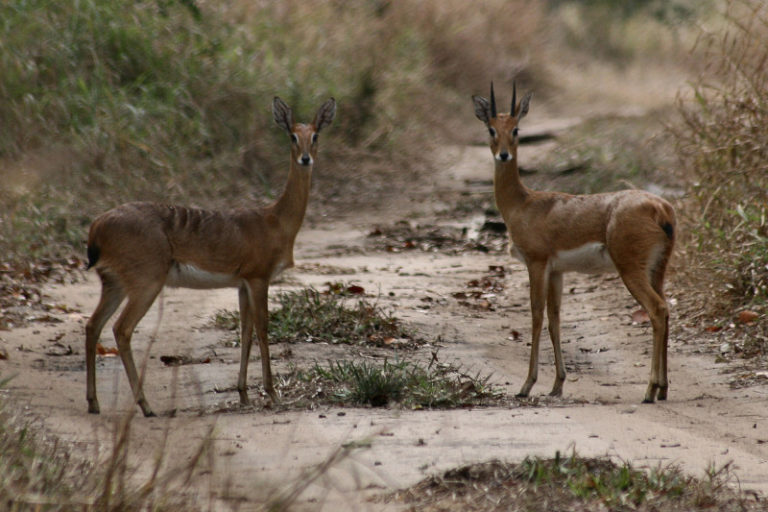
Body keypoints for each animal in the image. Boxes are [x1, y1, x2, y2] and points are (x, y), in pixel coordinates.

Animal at [85, 96, 336, 416]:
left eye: (315, 135)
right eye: (292, 135)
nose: (305, 158)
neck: (275, 222)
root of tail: (97, 227)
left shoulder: (242, 284)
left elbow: (245, 331)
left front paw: (244, 394)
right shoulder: (259, 276)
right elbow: (263, 329)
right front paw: (271, 394)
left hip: (113, 281)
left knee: (93, 325)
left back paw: (94, 403)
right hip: (146, 281)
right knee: (121, 329)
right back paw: (146, 406)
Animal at [472, 83, 675, 403]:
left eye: (516, 129)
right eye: (491, 129)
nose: (503, 155)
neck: (523, 204)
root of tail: (661, 209)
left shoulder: (536, 263)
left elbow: (536, 315)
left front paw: (526, 385)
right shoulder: (557, 271)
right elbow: (554, 320)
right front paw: (557, 385)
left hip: (631, 270)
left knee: (657, 310)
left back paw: (649, 391)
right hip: (657, 270)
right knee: (666, 311)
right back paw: (663, 389)